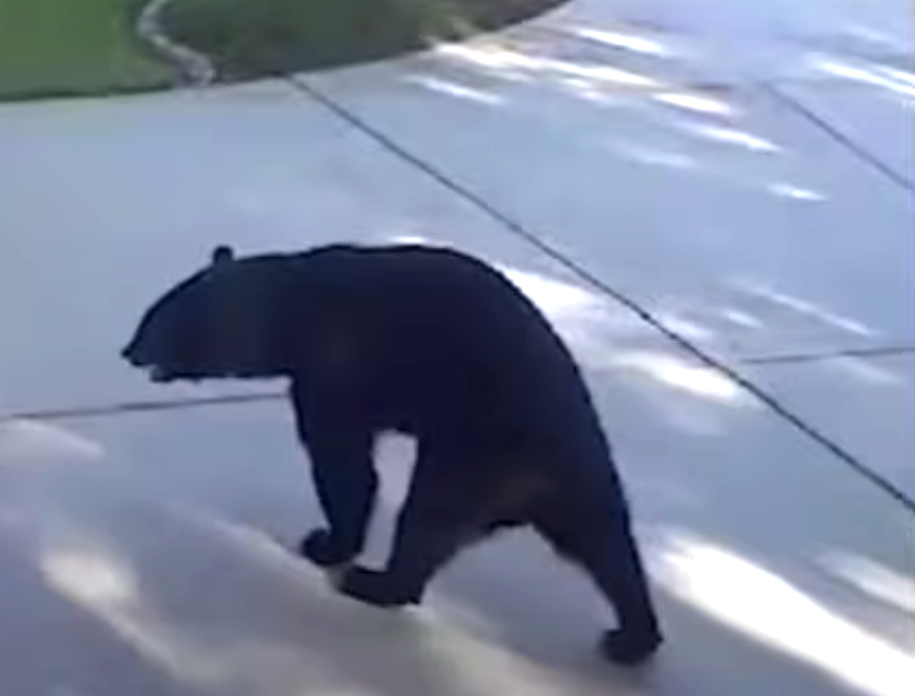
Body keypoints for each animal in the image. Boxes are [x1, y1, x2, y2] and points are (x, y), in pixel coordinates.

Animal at [121, 242, 663, 665]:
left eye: (158, 321)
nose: (128, 350)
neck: (292, 312)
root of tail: (537, 478)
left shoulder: (335, 367)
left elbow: (343, 461)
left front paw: (328, 542)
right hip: (577, 482)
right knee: (607, 548)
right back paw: (633, 636)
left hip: (474, 449)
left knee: (428, 516)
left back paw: (374, 582)